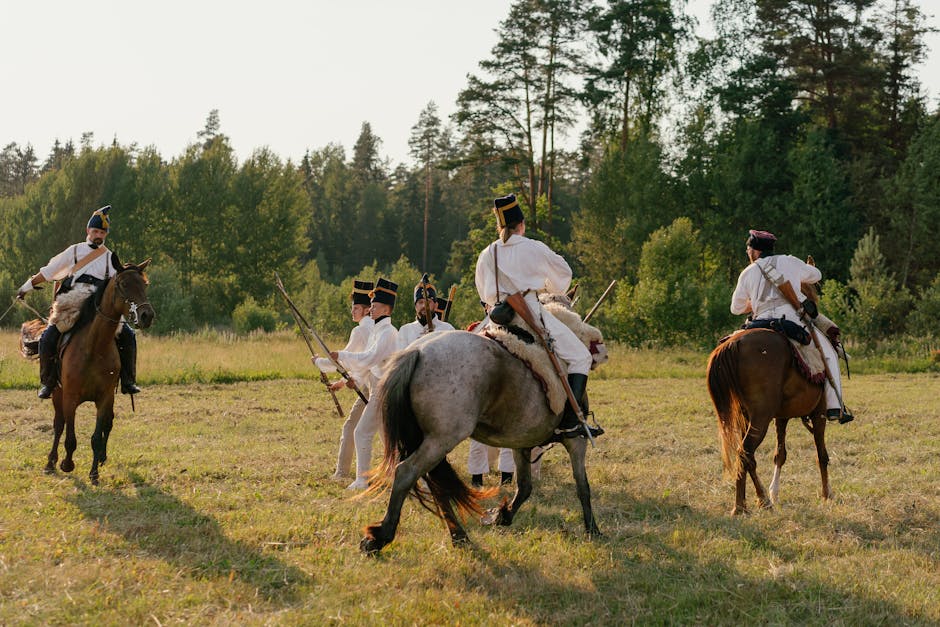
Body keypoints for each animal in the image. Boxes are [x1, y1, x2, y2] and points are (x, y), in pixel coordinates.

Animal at [44, 260, 153, 486]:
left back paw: (101, 457)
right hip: (57, 393)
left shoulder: (104, 397)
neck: (94, 347)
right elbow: (69, 436)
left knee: (108, 424)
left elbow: (96, 436)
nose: (147, 315)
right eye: (123, 284)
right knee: (58, 424)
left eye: (144, 284)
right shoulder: (70, 397)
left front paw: (94, 473)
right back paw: (51, 462)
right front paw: (67, 464)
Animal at [356, 328, 600, 556]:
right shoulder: (576, 441)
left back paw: (459, 535)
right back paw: (381, 536)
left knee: (435, 484)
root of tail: (417, 350)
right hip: (441, 440)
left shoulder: (522, 443)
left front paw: (502, 516)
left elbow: (525, 487)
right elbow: (583, 487)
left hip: (432, 442)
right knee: (406, 473)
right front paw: (593, 530)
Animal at [704, 328, 828, 516]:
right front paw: (827, 495)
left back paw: (750, 503)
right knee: (745, 451)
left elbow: (780, 454)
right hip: (761, 418)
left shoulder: (781, 417)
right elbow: (821, 455)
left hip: (747, 418)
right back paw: (750, 503)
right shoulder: (819, 414)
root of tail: (734, 343)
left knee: (747, 456)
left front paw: (774, 492)